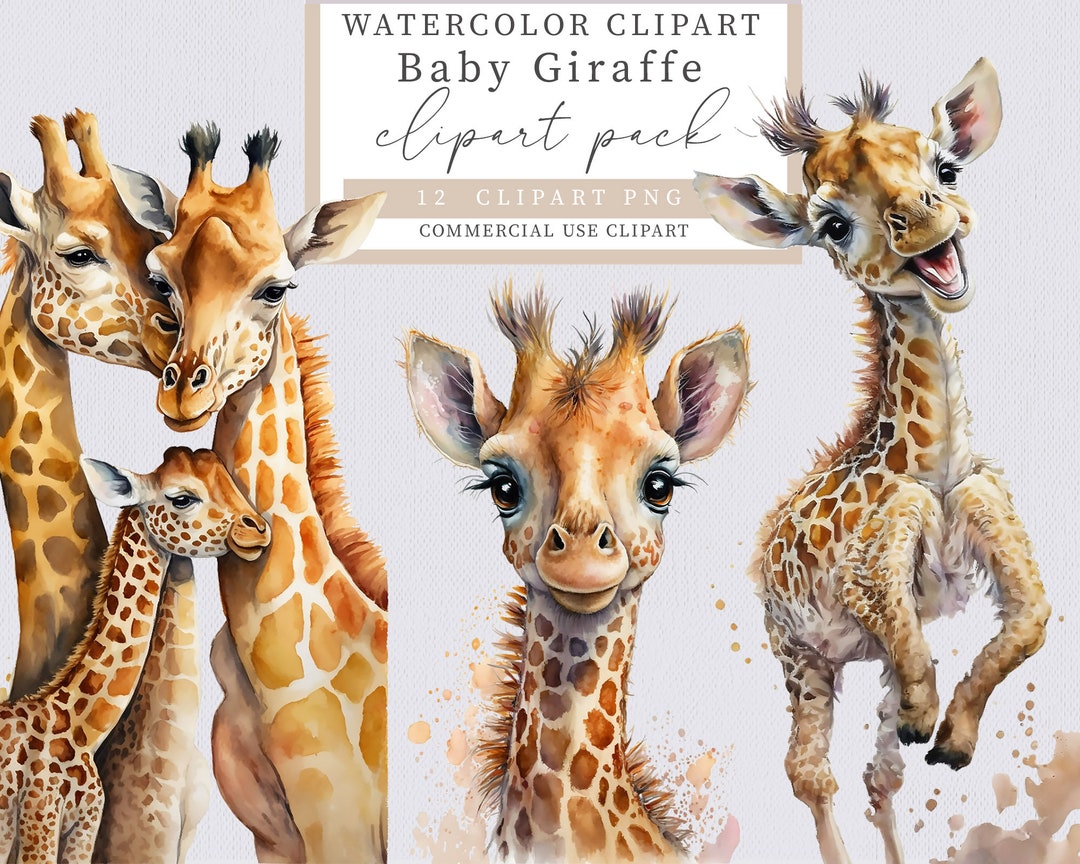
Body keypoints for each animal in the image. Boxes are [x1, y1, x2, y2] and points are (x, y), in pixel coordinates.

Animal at [0, 446, 270, 864]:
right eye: (182, 498)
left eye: (229, 477)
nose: (258, 528)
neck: (79, 727)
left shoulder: (87, 827)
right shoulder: (39, 819)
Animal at [694, 58, 1050, 864]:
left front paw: (952, 738)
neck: (934, 467)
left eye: (946, 168)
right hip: (802, 653)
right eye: (833, 223)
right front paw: (929, 717)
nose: (926, 217)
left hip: (855, 660)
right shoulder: (863, 575)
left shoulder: (986, 510)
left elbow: (1032, 620)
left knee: (876, 778)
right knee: (810, 773)